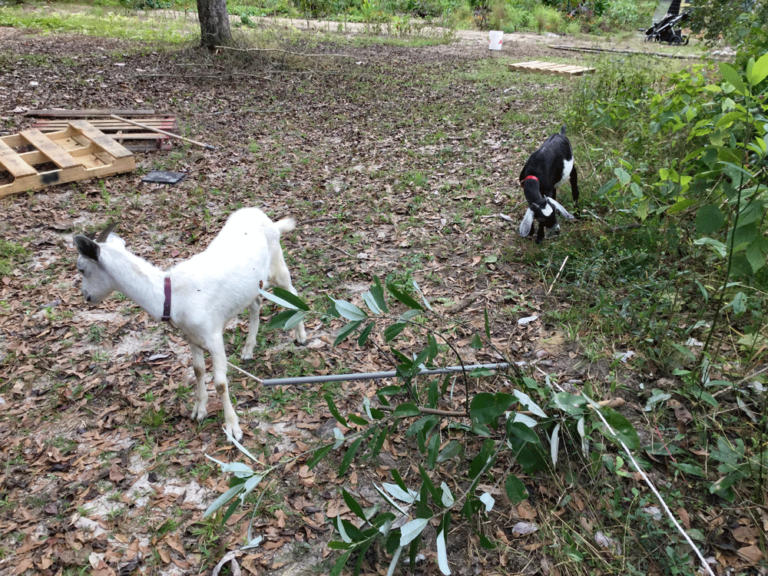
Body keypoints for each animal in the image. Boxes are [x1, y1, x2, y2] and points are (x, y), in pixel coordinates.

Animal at [73, 208, 308, 441]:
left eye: (81, 269)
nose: (86, 296)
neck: (172, 296)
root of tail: (265, 218)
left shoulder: (212, 334)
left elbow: (220, 384)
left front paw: (233, 429)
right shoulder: (191, 336)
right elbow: (198, 370)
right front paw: (199, 411)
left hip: (278, 263)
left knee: (293, 294)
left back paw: (301, 337)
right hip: (252, 286)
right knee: (256, 304)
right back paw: (248, 350)